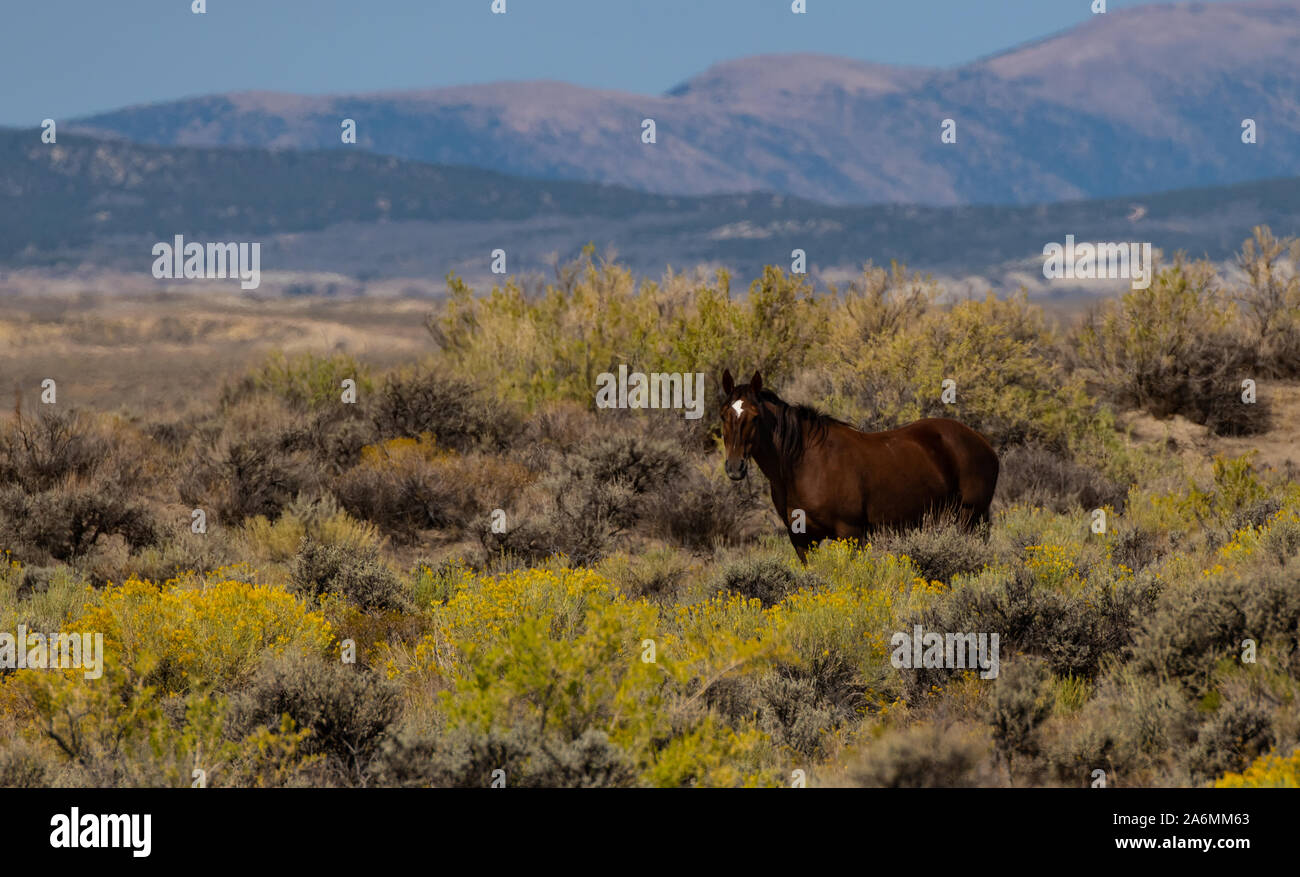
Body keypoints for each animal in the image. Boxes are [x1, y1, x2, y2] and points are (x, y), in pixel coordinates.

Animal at [720, 369, 999, 564]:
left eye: (755, 417)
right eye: (723, 415)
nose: (734, 467)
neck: (803, 464)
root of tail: (983, 442)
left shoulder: (850, 533)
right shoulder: (802, 539)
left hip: (968, 517)